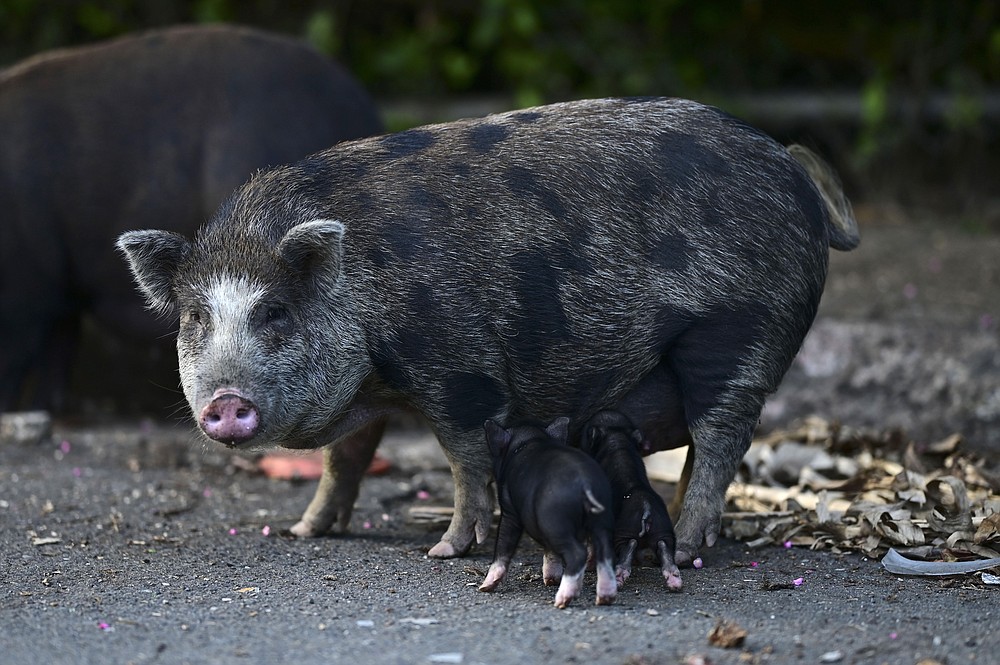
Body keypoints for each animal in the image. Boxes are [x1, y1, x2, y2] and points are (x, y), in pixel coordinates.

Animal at [116, 97, 859, 566]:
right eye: (195, 316)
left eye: (273, 311)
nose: (225, 403)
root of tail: (793, 168)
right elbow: (345, 459)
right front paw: (304, 532)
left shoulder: (460, 367)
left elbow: (465, 459)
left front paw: (445, 548)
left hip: (737, 331)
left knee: (722, 436)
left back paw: (694, 539)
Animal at [479, 417, 617, 607]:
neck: (530, 441)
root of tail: (585, 483)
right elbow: (549, 550)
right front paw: (550, 580)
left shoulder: (509, 510)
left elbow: (504, 545)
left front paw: (484, 587)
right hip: (602, 518)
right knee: (606, 552)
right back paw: (605, 598)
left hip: (554, 520)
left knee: (577, 554)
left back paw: (562, 600)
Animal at [580, 410, 682, 589]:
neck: (617, 437)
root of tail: (646, 509)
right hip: (665, 530)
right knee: (665, 549)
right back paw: (675, 582)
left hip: (624, 533)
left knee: (629, 548)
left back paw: (618, 579)